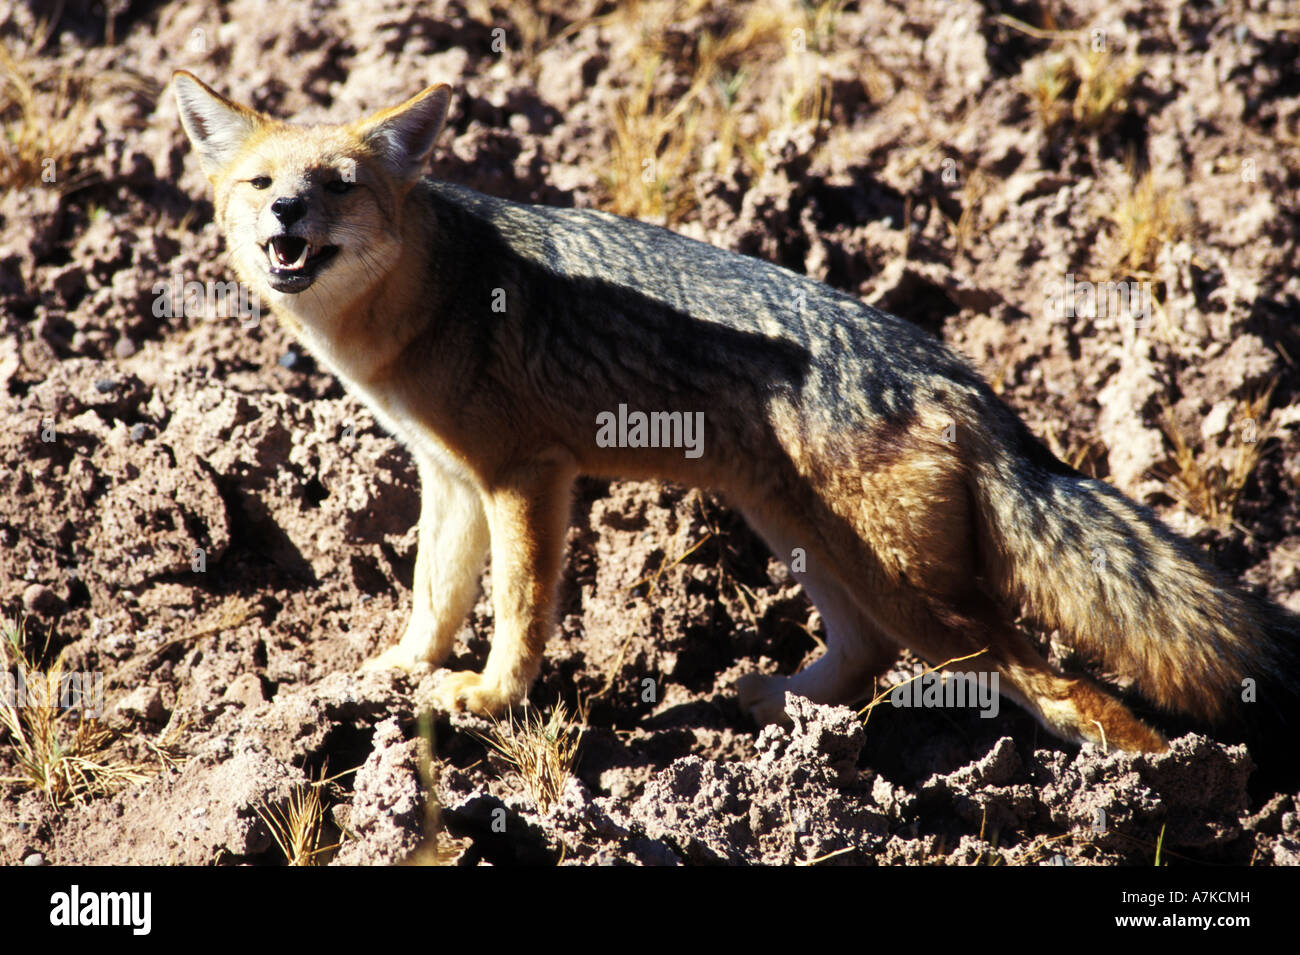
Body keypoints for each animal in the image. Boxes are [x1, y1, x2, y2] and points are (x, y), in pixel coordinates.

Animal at [171, 70, 1300, 758]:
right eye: (262, 182)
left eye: (339, 184)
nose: (287, 216)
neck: (429, 299)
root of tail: (955, 373)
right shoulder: (451, 480)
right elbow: (432, 598)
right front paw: (399, 675)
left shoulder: (526, 479)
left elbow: (519, 612)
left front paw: (489, 702)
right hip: (811, 541)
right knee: (866, 657)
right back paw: (785, 705)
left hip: (917, 602)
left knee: (1062, 685)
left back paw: (1154, 789)